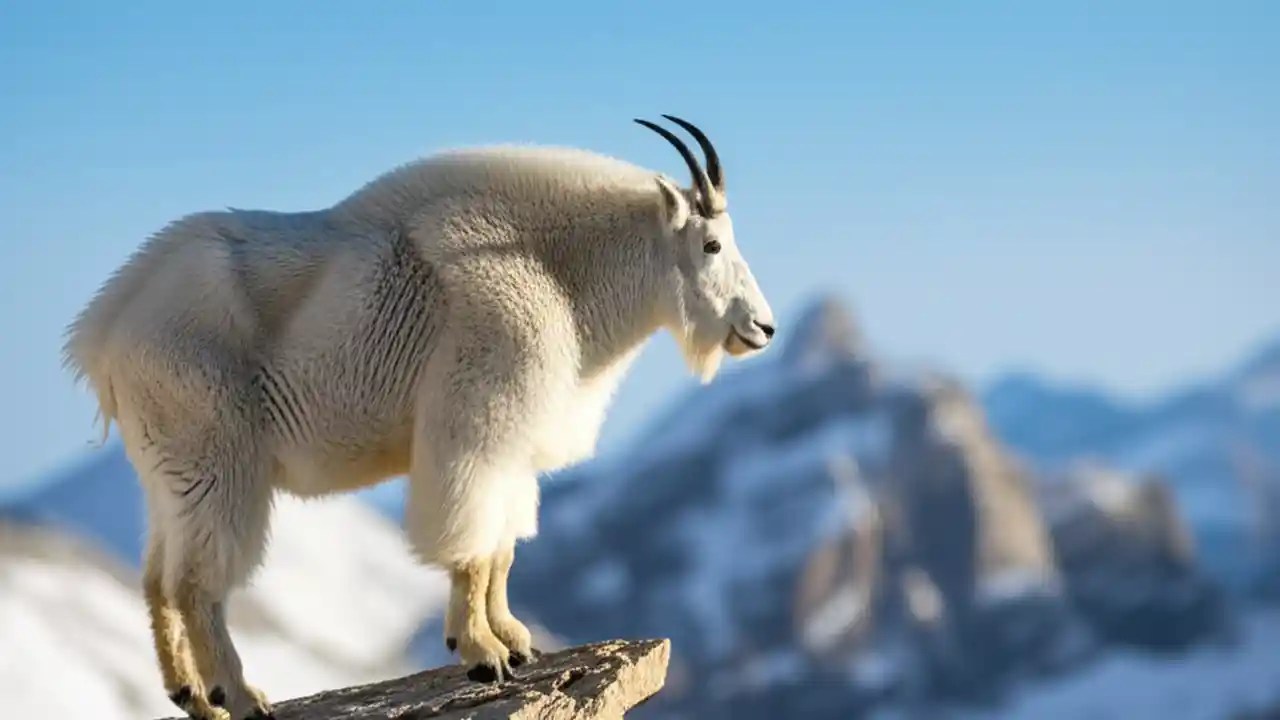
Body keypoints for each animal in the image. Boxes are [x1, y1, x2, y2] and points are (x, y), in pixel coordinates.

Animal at [63, 116, 776, 720]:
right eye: (713, 244)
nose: (763, 328)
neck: (557, 269)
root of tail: (103, 329)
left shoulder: (516, 443)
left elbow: (502, 548)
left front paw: (514, 640)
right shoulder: (476, 420)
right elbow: (470, 544)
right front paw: (483, 655)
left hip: (169, 467)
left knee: (158, 574)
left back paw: (190, 693)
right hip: (217, 457)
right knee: (197, 582)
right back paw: (239, 695)